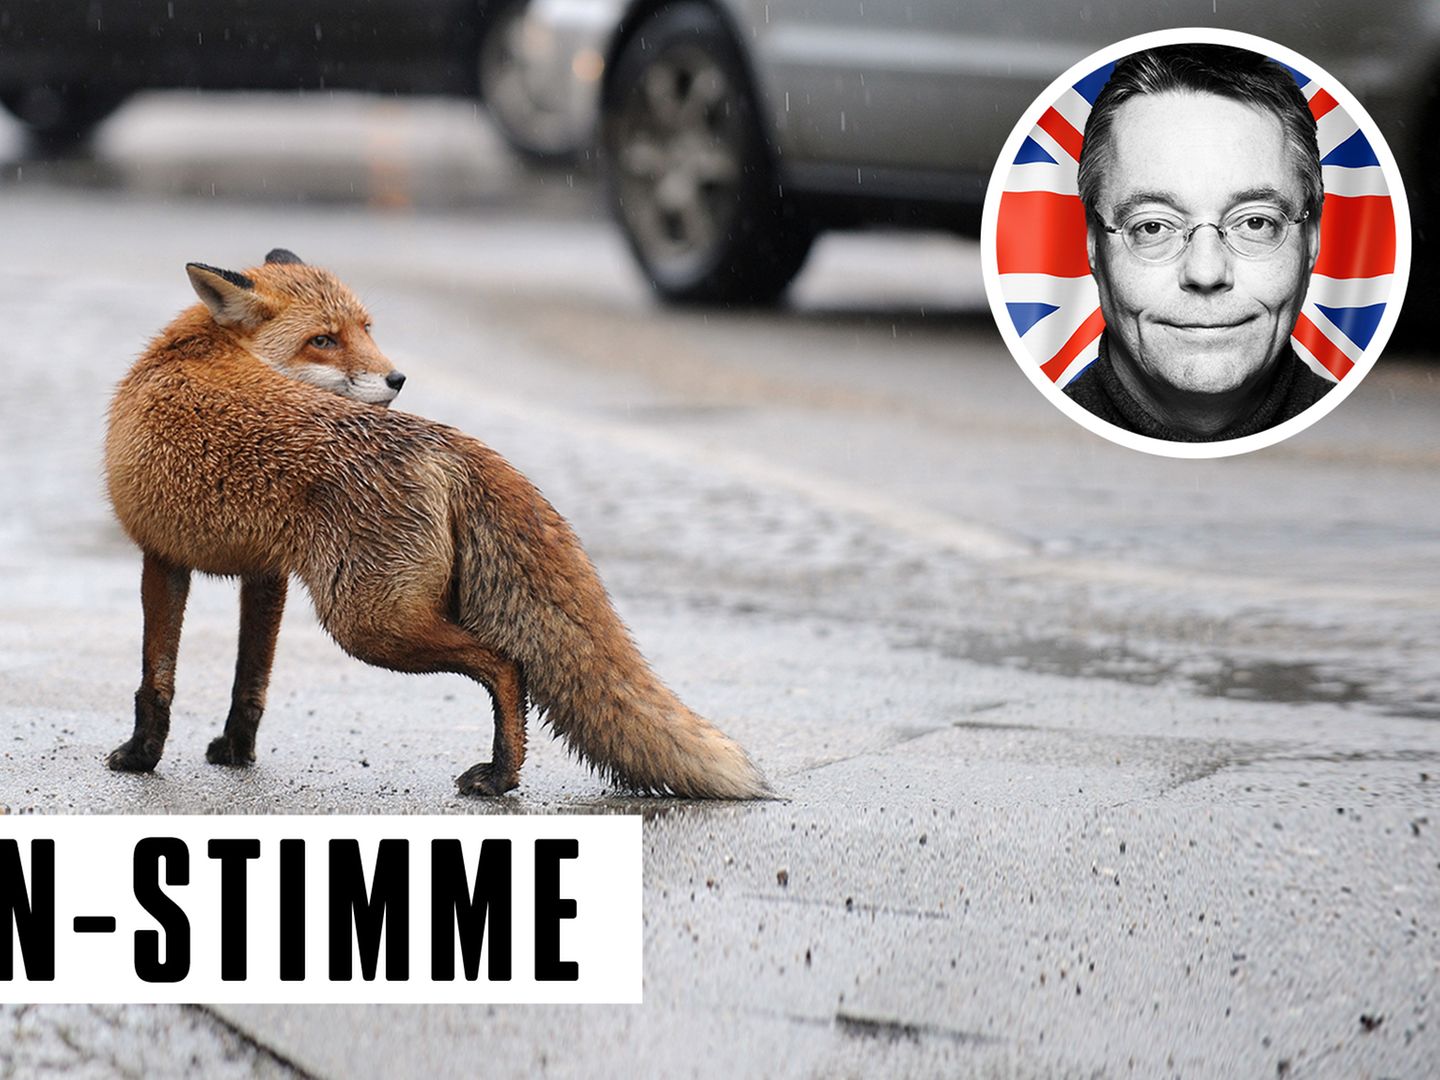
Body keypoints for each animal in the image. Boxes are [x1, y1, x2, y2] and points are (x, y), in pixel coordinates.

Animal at [103, 249, 769, 798]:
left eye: (365, 330)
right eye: (323, 340)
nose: (398, 378)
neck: (199, 349)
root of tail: (447, 441)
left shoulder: (159, 555)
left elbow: (155, 676)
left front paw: (140, 757)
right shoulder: (265, 575)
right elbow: (251, 678)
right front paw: (236, 752)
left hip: (367, 622)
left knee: (507, 663)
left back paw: (500, 775)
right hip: (378, 614)